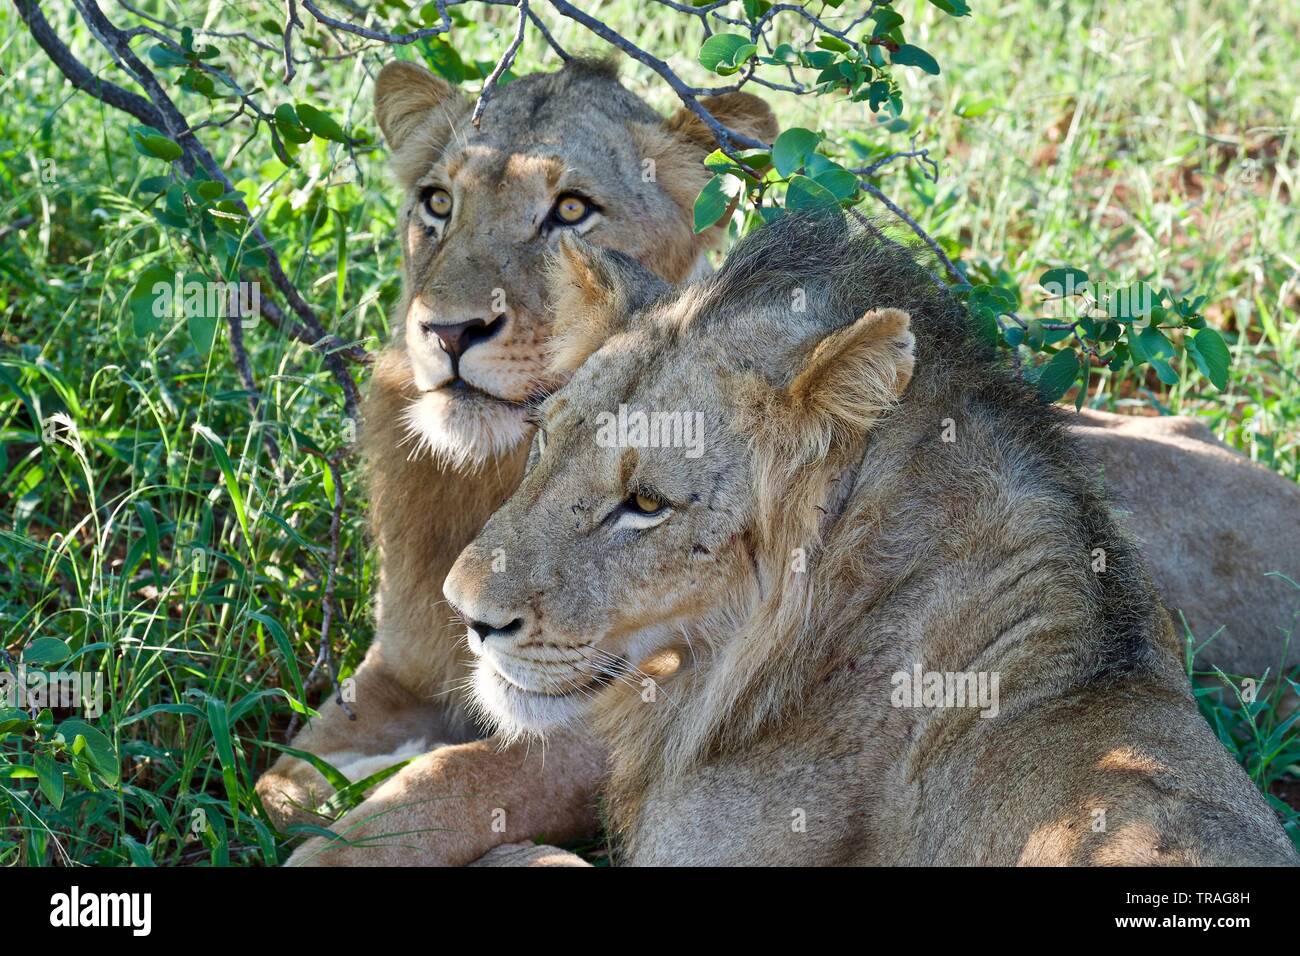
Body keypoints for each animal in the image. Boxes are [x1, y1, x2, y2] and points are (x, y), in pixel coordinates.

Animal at [258, 57, 779, 866]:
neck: (490, 475)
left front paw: (351, 828)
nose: (449, 330)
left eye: (570, 210)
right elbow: (279, 784)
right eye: (437, 202)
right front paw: (335, 785)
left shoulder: (632, 712)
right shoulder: (401, 666)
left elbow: (458, 777)